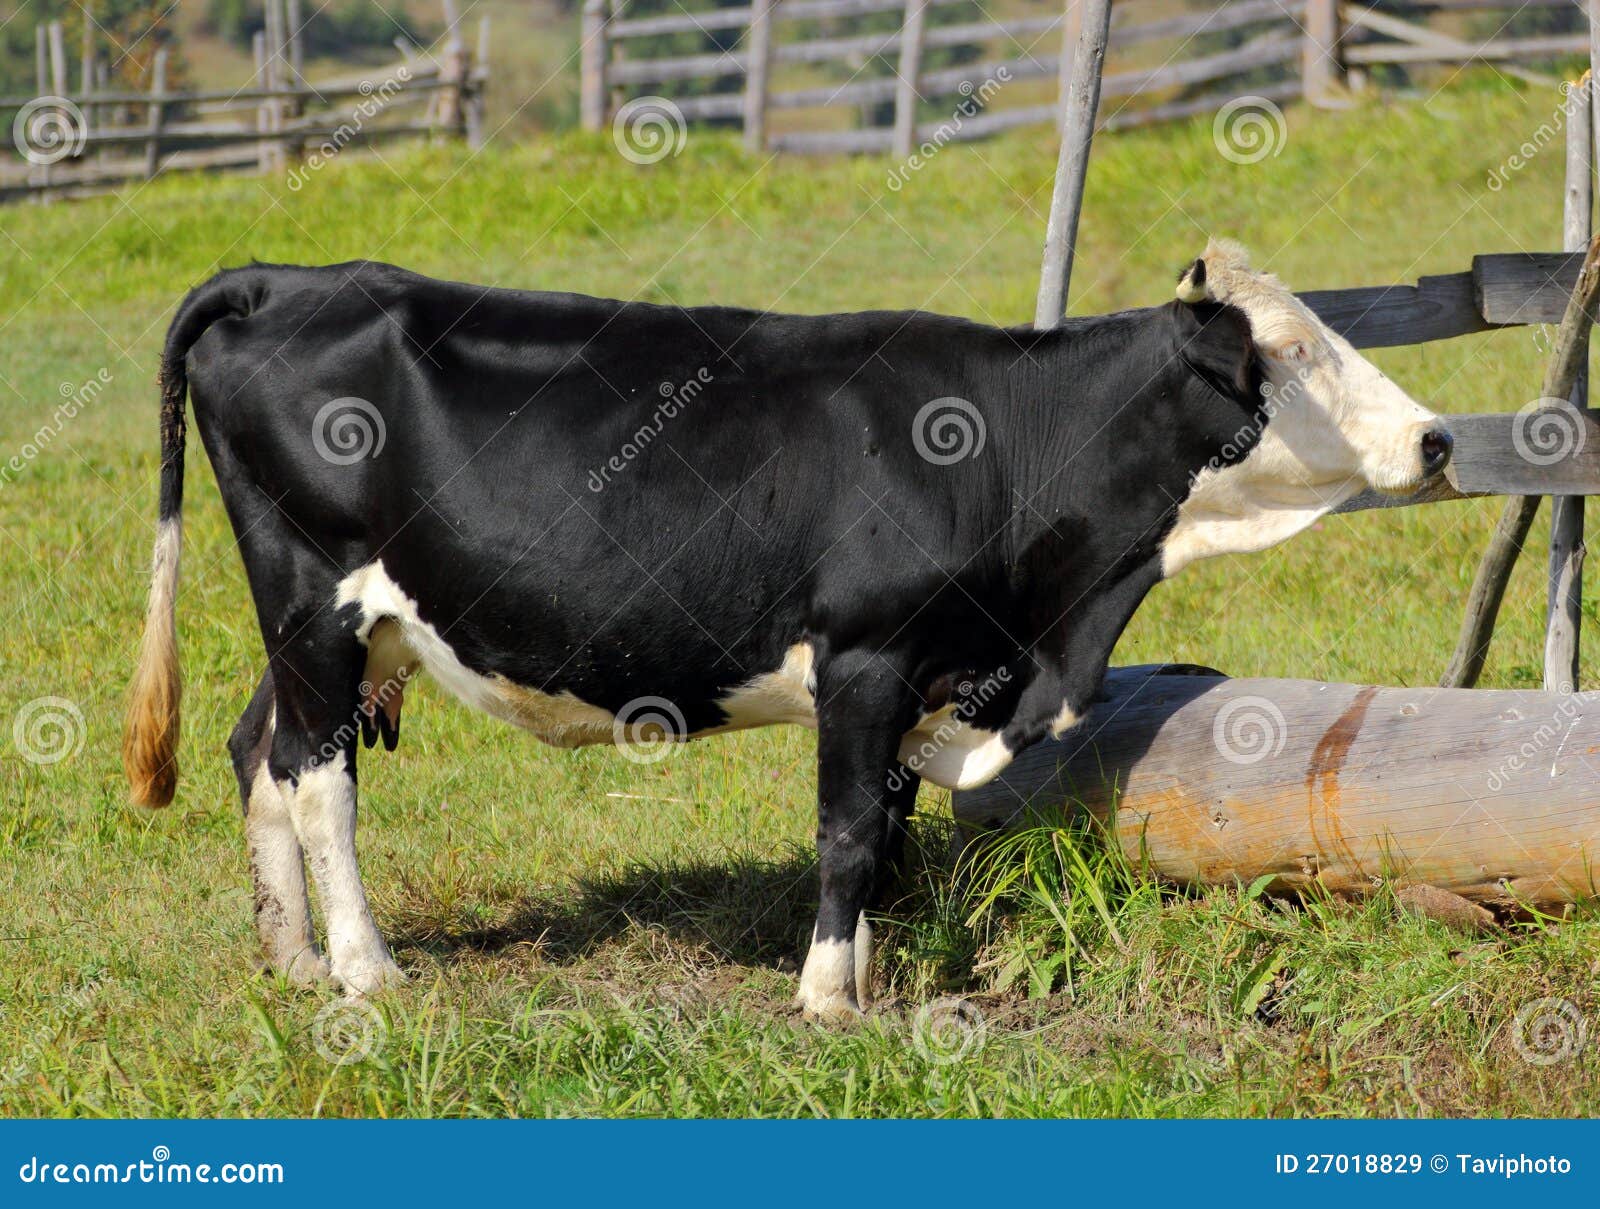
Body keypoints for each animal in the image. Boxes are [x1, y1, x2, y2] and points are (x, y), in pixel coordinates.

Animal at [123, 239, 1452, 1021]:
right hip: (316, 599)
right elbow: (850, 834)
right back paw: (364, 969)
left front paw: (860, 976)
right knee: (319, 782)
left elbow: (890, 832)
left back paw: (293, 957)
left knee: (261, 753)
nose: (1436, 437)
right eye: (1294, 350)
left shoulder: (927, 674)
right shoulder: (865, 658)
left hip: (335, 626)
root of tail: (285, 276)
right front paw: (827, 1001)